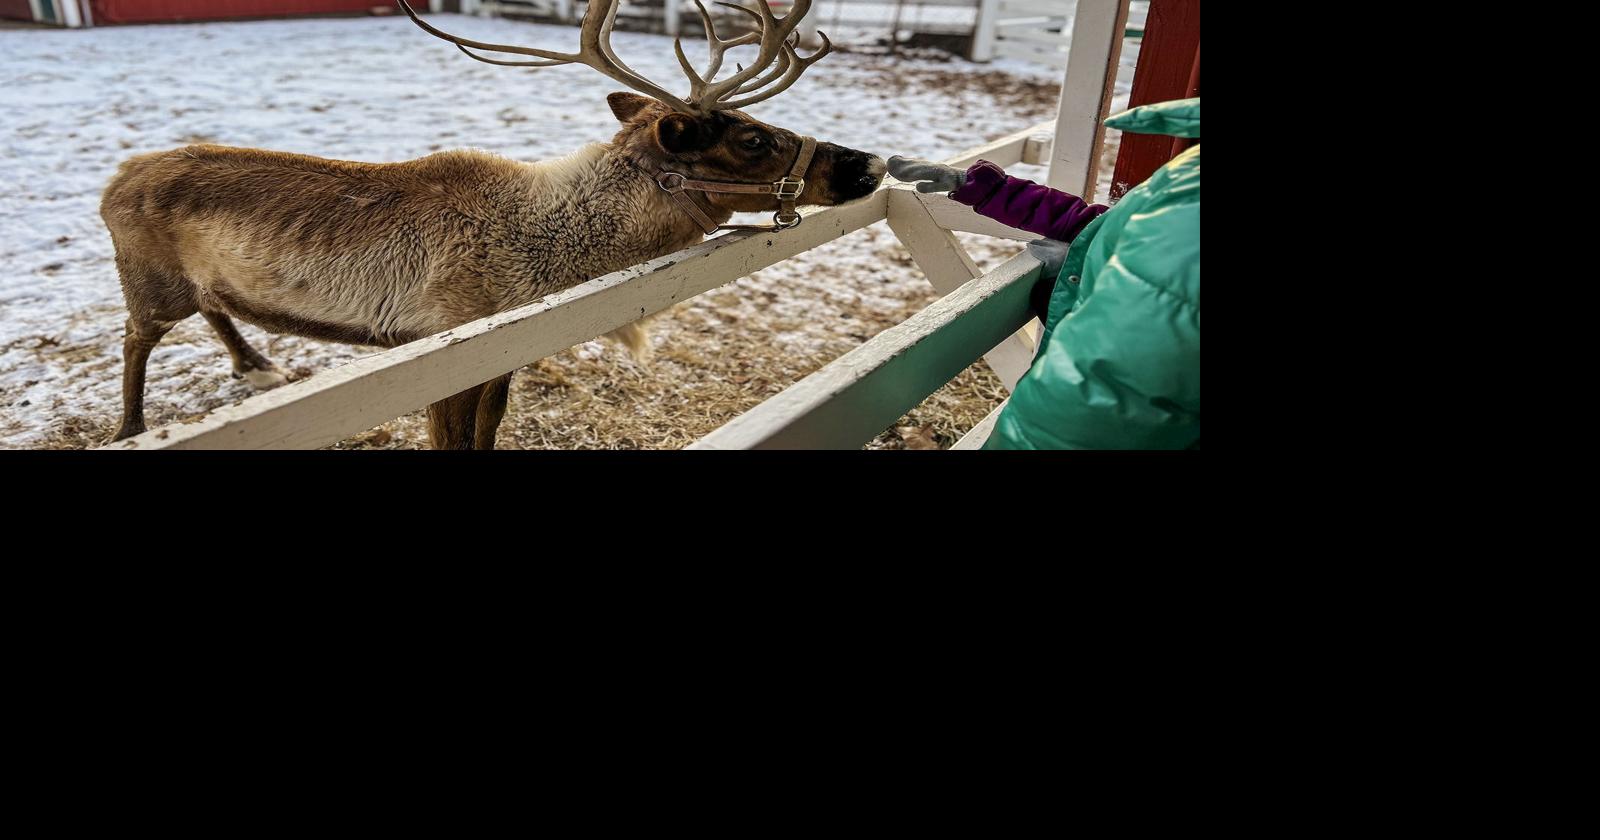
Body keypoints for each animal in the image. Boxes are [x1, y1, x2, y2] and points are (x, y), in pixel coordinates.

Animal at [99, 0, 885, 449]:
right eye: (753, 139)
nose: (869, 162)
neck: (550, 255)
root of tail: (116, 179)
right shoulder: (440, 345)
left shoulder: (502, 354)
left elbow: (488, 434)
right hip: (150, 284)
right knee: (136, 337)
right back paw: (131, 427)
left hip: (196, 285)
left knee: (215, 306)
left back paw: (257, 365)